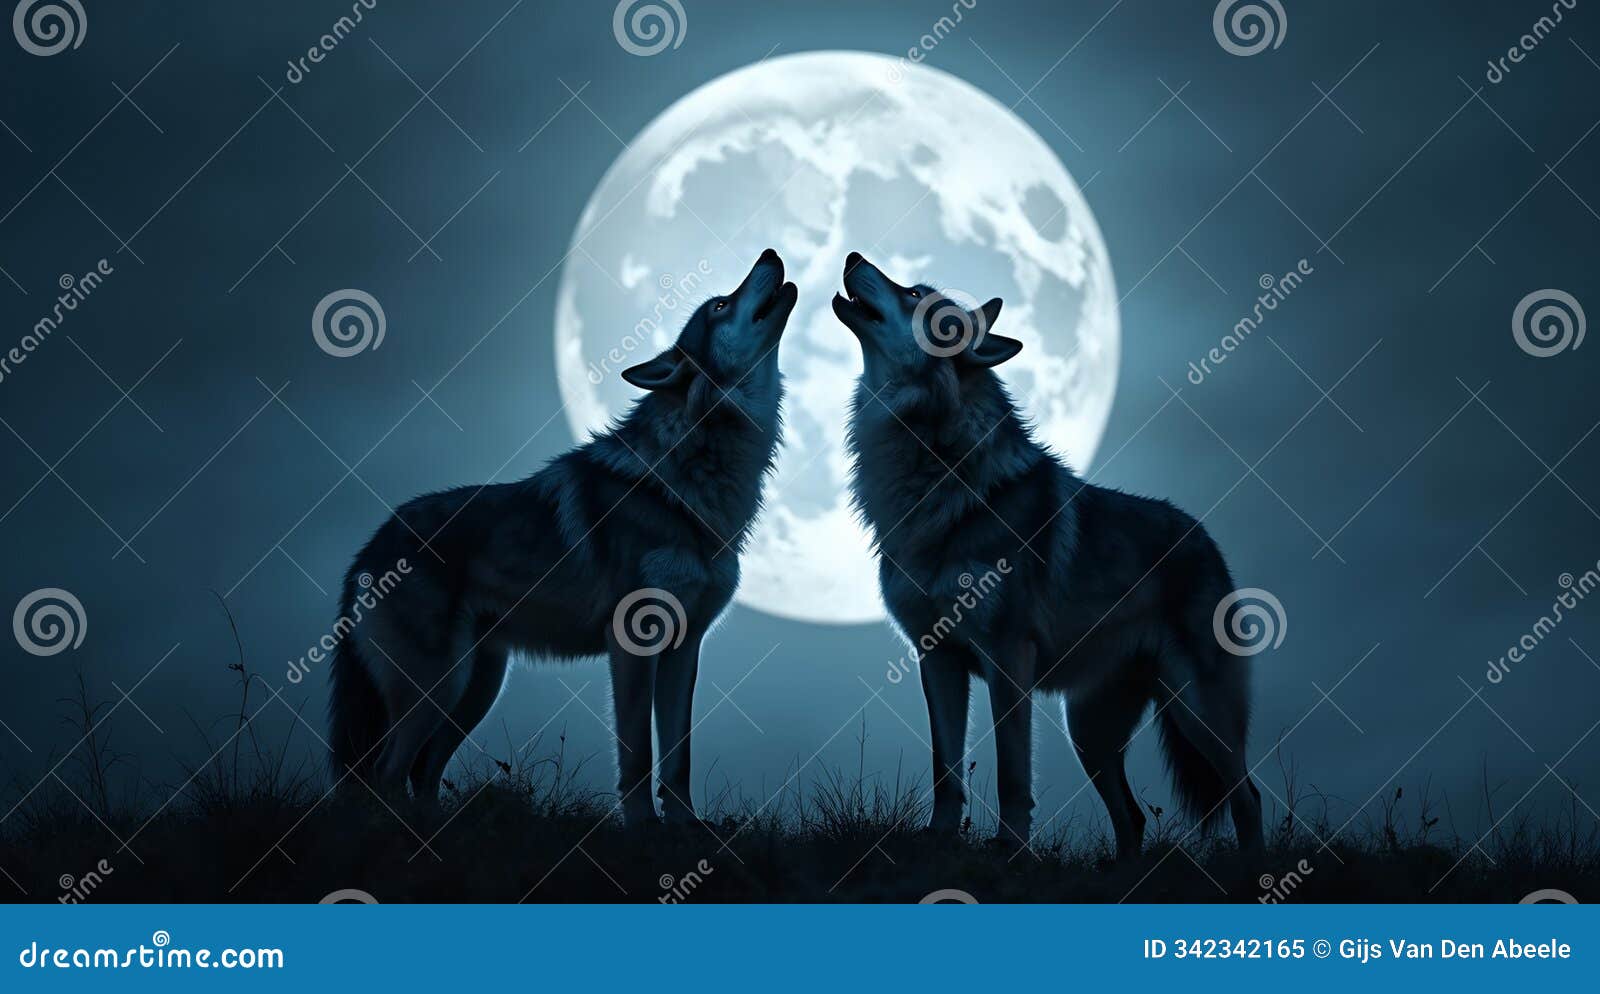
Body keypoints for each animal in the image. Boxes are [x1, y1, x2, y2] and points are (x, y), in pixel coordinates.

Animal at [329, 250, 796, 825]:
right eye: (720, 305)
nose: (770, 254)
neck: (690, 477)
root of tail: (370, 546)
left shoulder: (684, 648)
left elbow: (678, 757)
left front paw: (686, 828)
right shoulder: (633, 642)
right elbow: (637, 754)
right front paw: (642, 828)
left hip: (475, 688)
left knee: (422, 772)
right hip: (440, 685)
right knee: (386, 773)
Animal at [835, 252, 1263, 856]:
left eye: (916, 293)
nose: (853, 257)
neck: (937, 474)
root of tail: (1204, 535)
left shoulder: (1008, 658)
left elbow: (1013, 772)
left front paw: (1011, 851)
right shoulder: (937, 657)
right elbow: (946, 769)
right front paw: (939, 841)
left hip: (1197, 711)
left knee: (1248, 798)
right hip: (1088, 729)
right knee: (1134, 818)